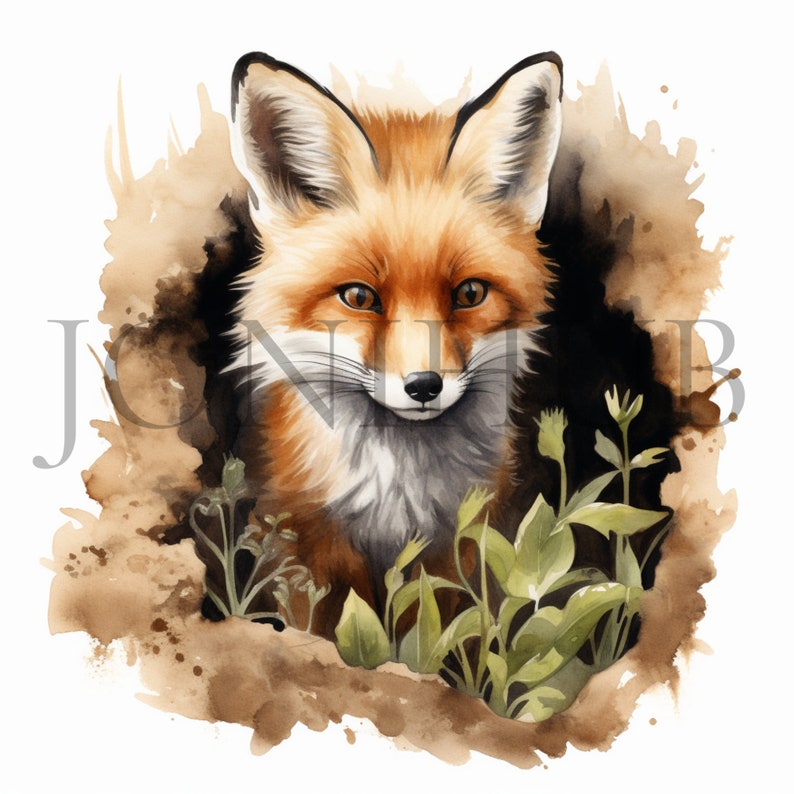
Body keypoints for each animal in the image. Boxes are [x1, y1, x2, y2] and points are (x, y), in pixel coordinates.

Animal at [226, 51, 563, 634]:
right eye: (359, 296)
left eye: (469, 293)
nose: (424, 386)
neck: (396, 498)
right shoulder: (306, 548)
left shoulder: (455, 548)